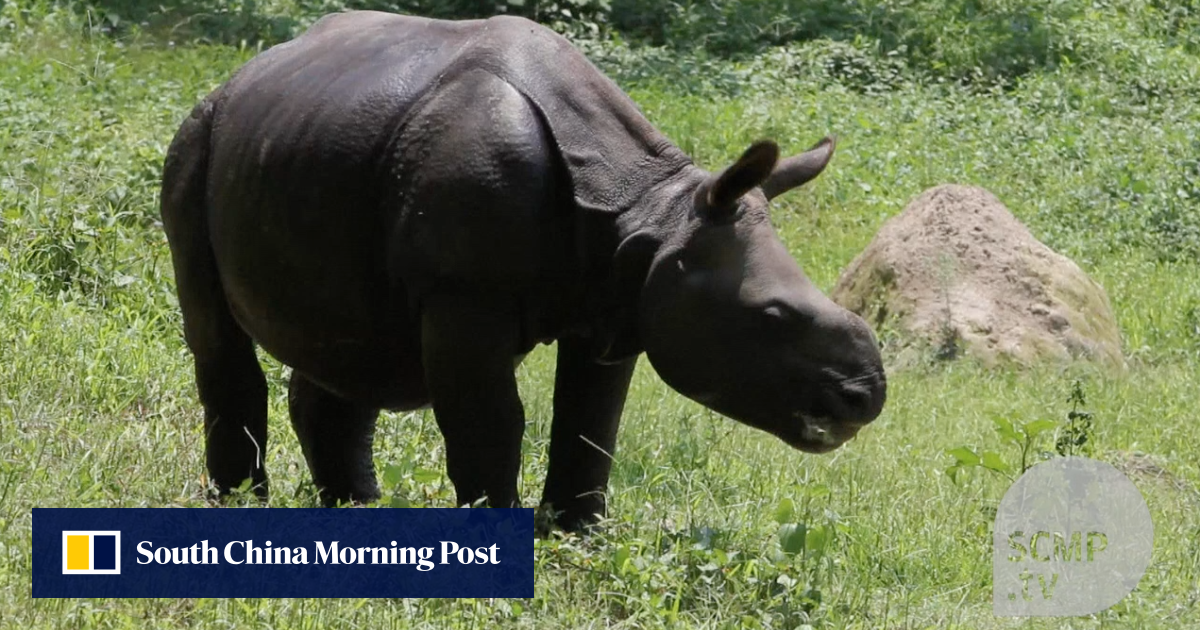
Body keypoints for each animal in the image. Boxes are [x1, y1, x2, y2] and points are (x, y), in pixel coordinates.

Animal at [161, 10, 886, 531]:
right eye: (771, 315)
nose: (866, 398)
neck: (648, 210)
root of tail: (244, 70)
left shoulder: (617, 303)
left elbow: (592, 421)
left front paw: (579, 535)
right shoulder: (464, 292)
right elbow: (492, 417)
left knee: (345, 342)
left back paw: (354, 510)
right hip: (196, 136)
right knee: (218, 329)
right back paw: (241, 506)